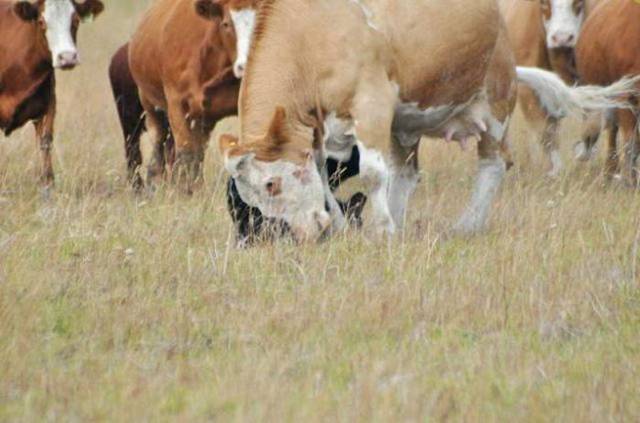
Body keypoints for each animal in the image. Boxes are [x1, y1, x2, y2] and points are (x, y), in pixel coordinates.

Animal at [0, 0, 103, 188]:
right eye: (41, 22)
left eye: (76, 20)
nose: (67, 57)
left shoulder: (48, 104)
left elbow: (45, 141)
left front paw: (47, 181)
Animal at [500, 0, 602, 176]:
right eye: (543, 3)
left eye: (579, 3)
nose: (562, 38)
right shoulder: (528, 89)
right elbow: (544, 131)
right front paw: (556, 170)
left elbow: (592, 127)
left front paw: (581, 152)